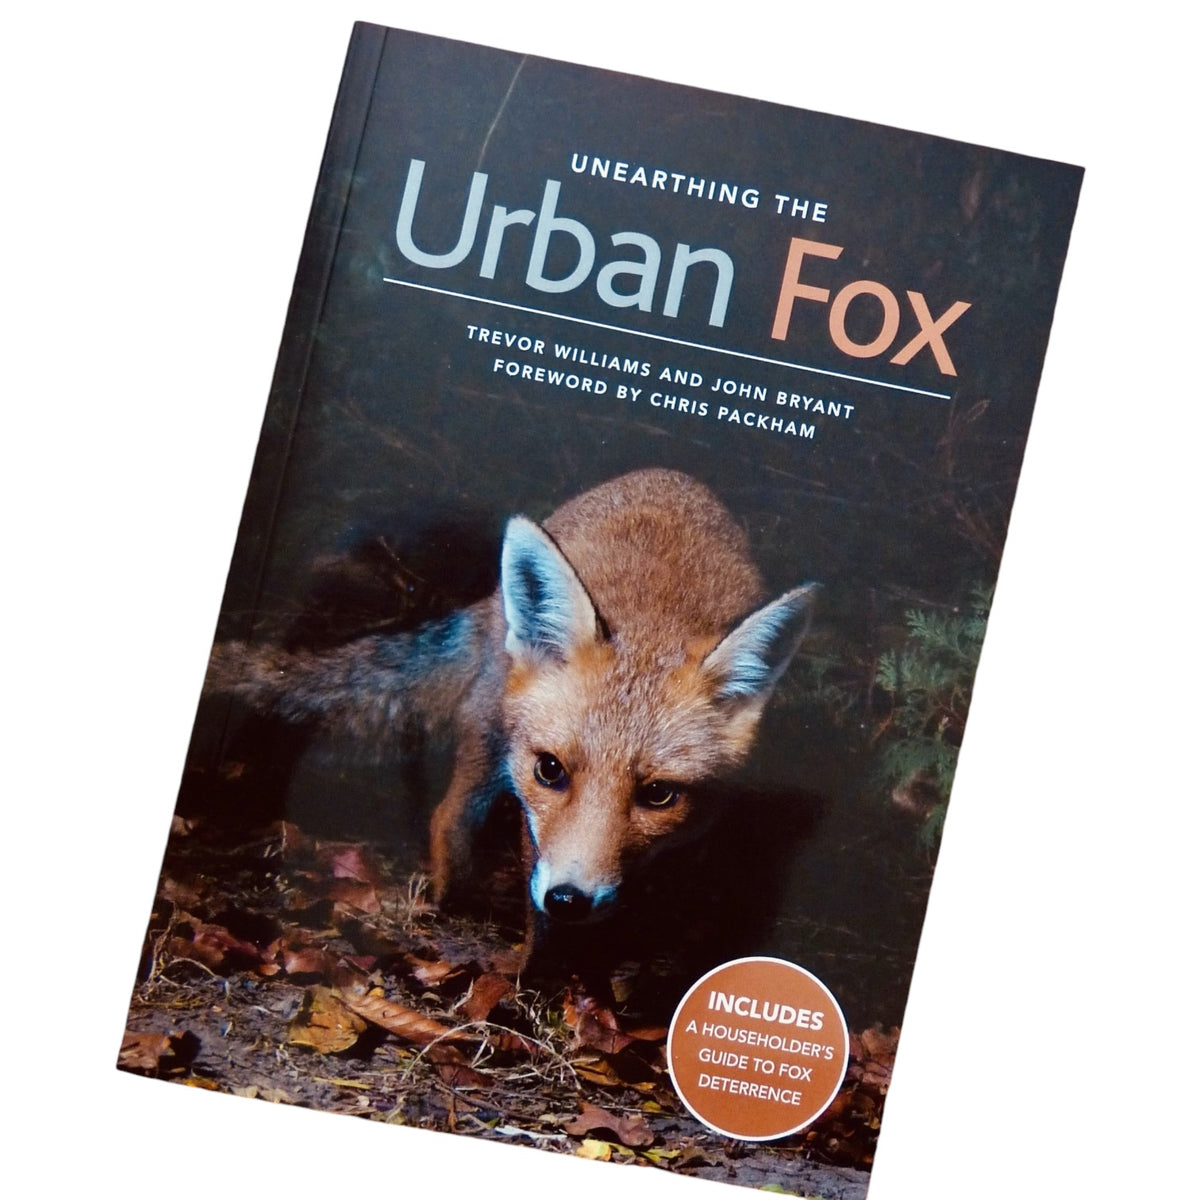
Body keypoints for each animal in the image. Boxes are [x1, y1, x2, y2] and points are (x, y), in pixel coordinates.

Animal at [205, 468, 817, 959]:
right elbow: (537, 917)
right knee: (446, 817)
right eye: (551, 770)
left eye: (658, 795)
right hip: (489, 739)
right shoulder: (530, 809)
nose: (569, 900)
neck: (656, 618)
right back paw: (448, 907)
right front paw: (538, 986)